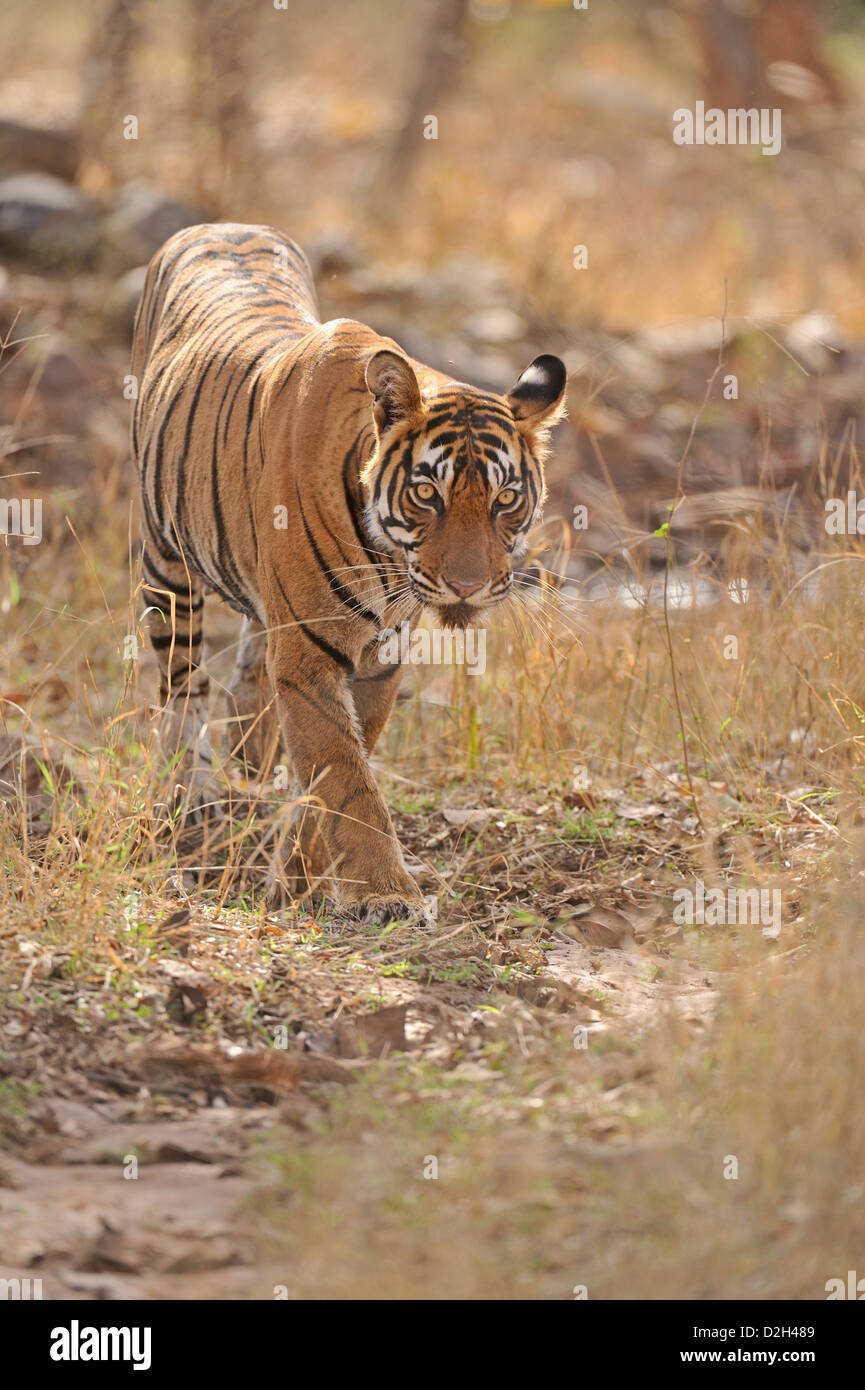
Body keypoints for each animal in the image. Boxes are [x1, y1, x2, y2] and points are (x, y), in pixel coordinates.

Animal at [131, 223, 566, 922]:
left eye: (506, 498)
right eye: (428, 494)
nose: (469, 585)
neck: (389, 561)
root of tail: (222, 223)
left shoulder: (379, 659)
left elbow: (334, 769)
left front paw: (298, 879)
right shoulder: (311, 653)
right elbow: (345, 773)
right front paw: (384, 893)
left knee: (246, 678)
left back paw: (248, 748)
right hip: (166, 565)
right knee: (181, 689)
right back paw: (192, 797)